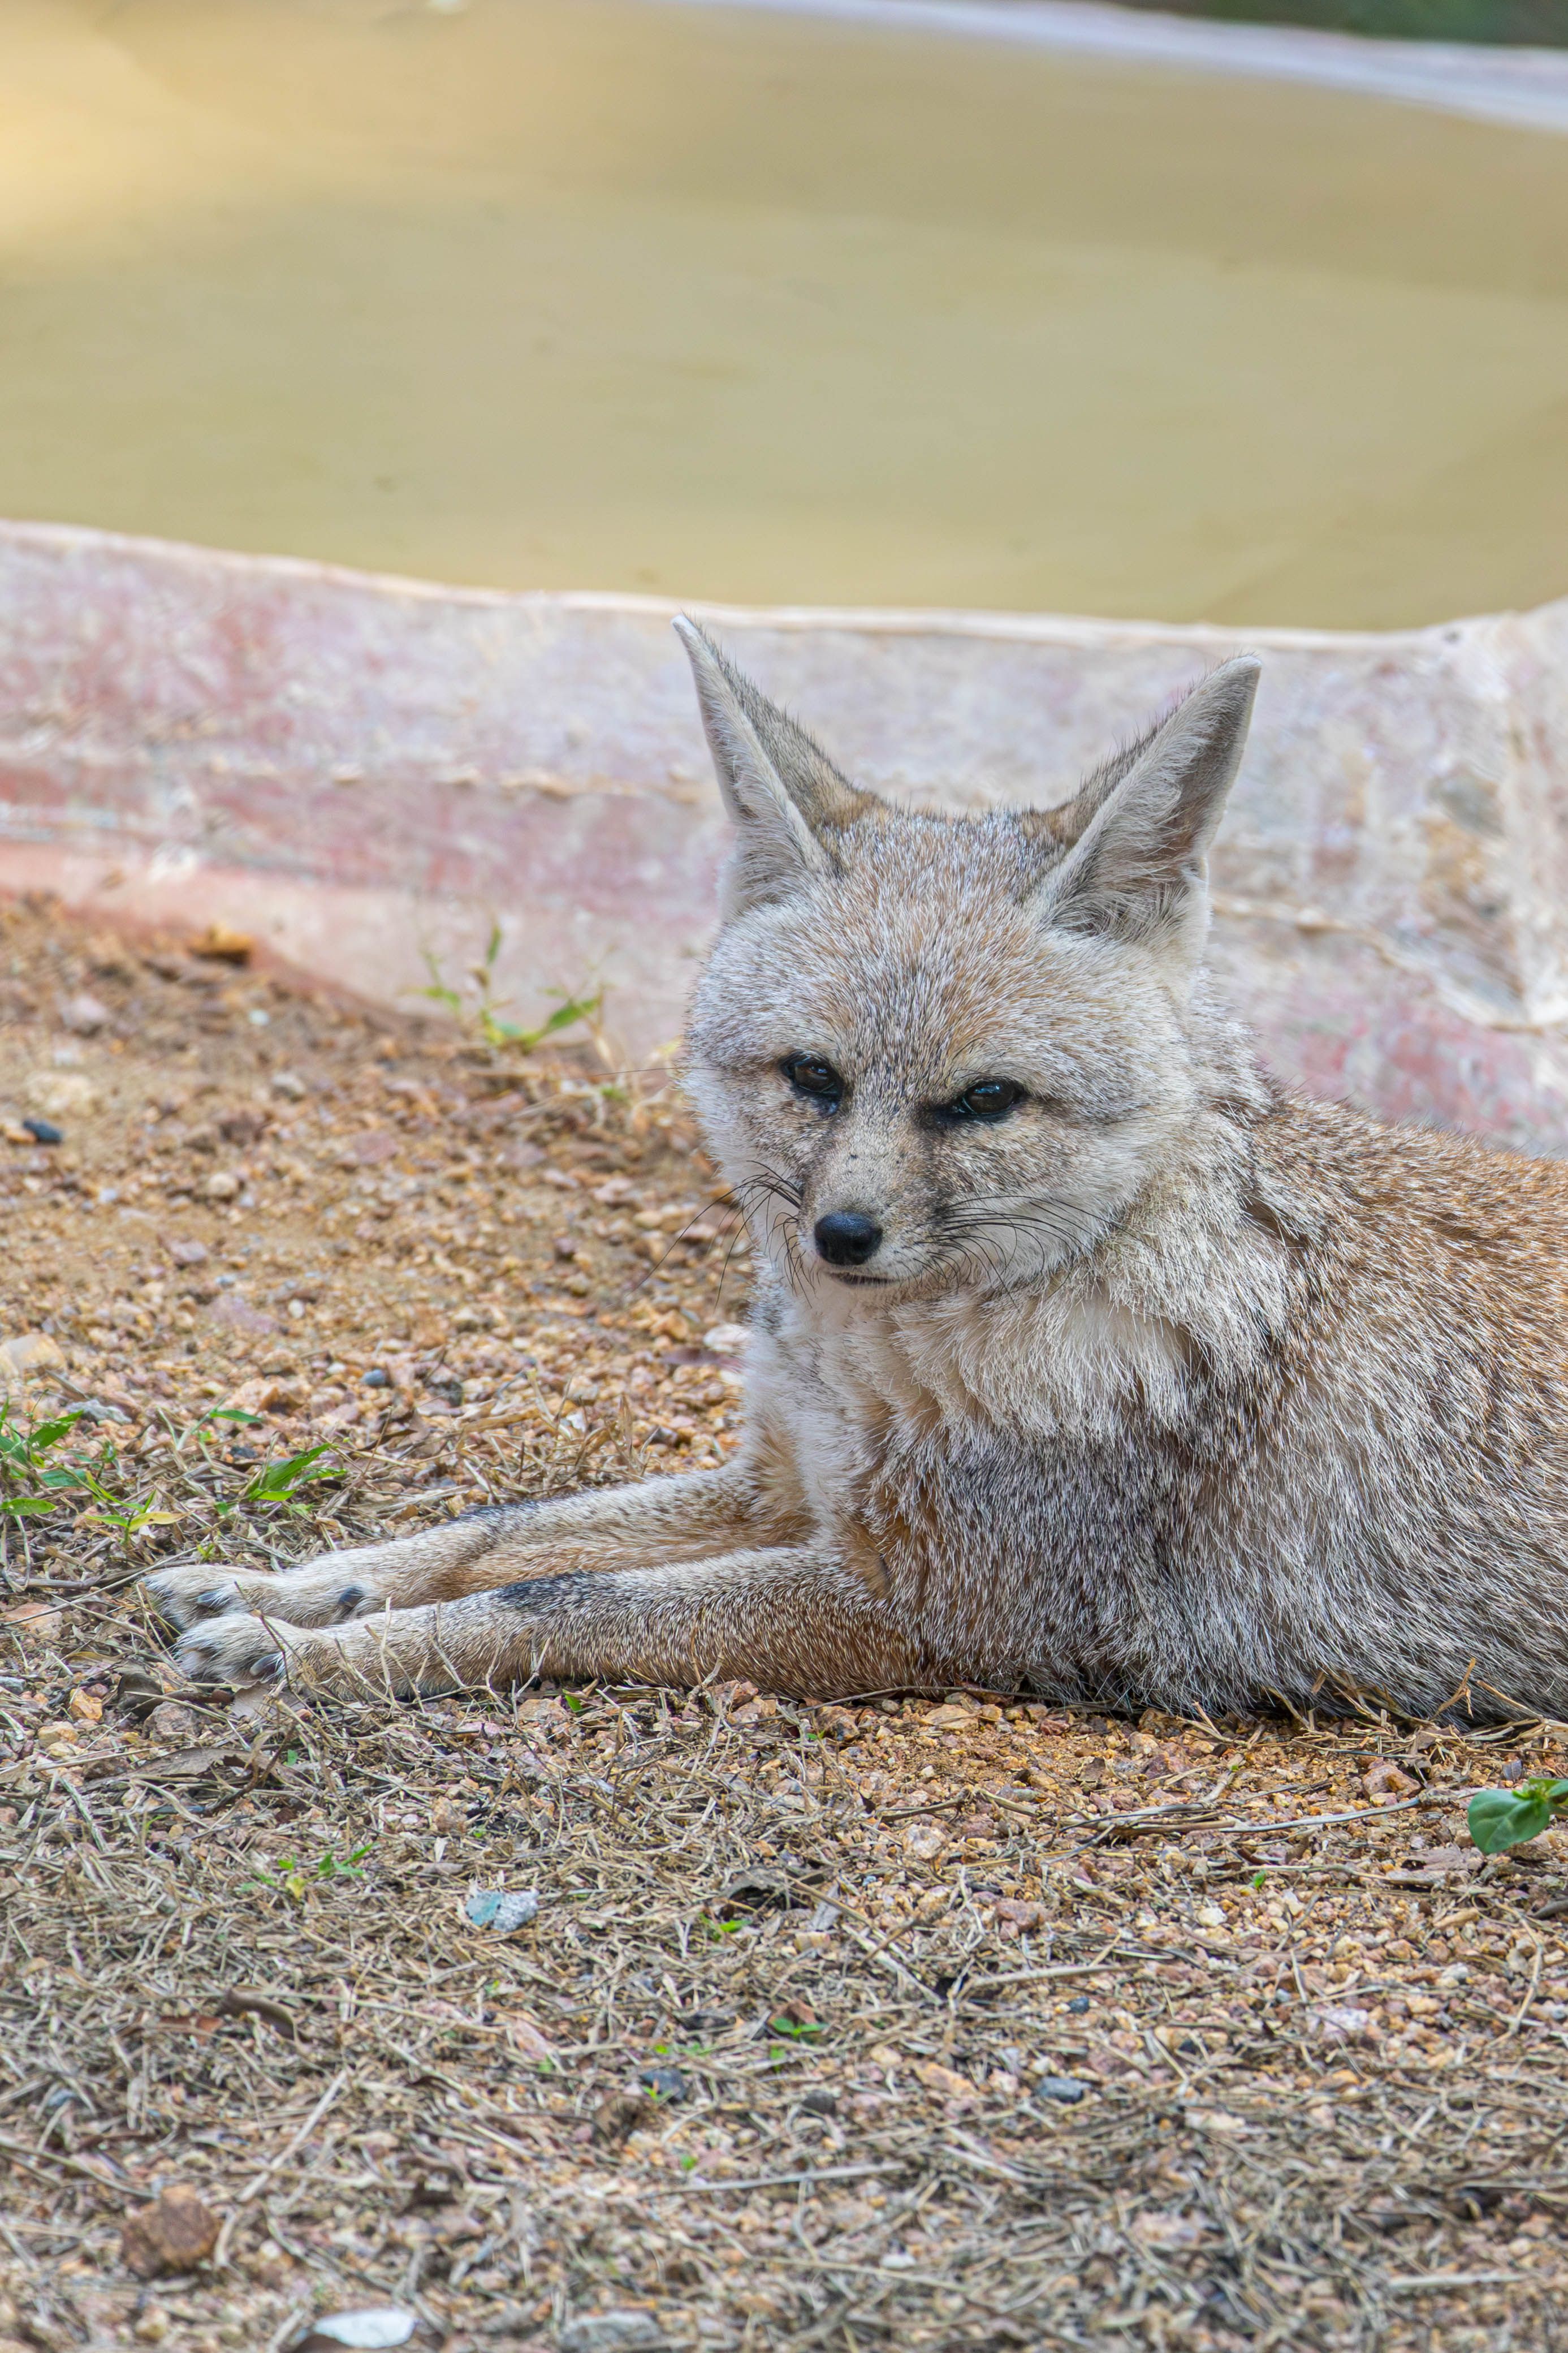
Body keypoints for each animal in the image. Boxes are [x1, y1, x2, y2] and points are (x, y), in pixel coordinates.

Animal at [147, 620, 1568, 1722]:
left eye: (984, 1102)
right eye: (812, 1078)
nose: (844, 1236)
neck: (874, 1370)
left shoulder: (916, 1603)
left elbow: (555, 1593)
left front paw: (303, 1654)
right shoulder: (782, 1485)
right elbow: (499, 1530)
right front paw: (290, 1589)